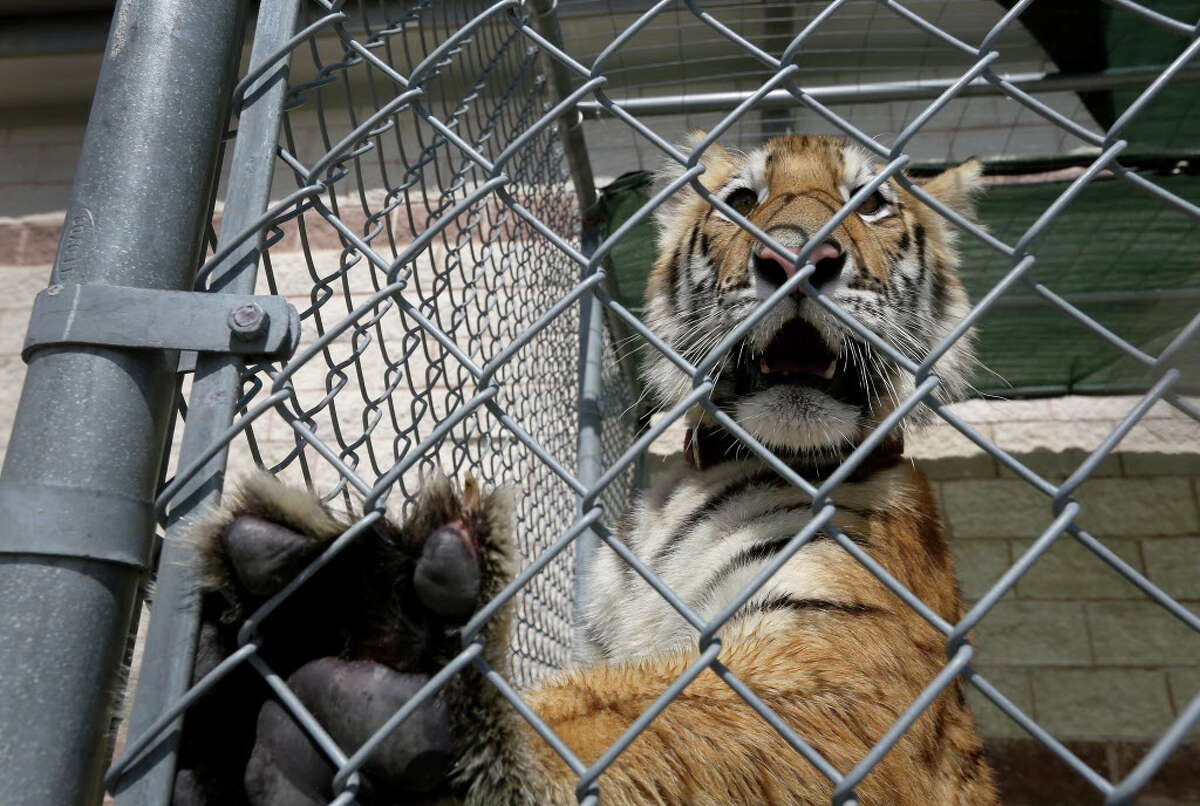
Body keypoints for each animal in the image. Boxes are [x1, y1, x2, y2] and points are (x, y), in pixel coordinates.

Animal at [173, 134, 998, 806]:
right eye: (741, 201)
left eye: (873, 203)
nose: (797, 256)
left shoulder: (846, 671)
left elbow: (648, 724)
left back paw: (366, 665)